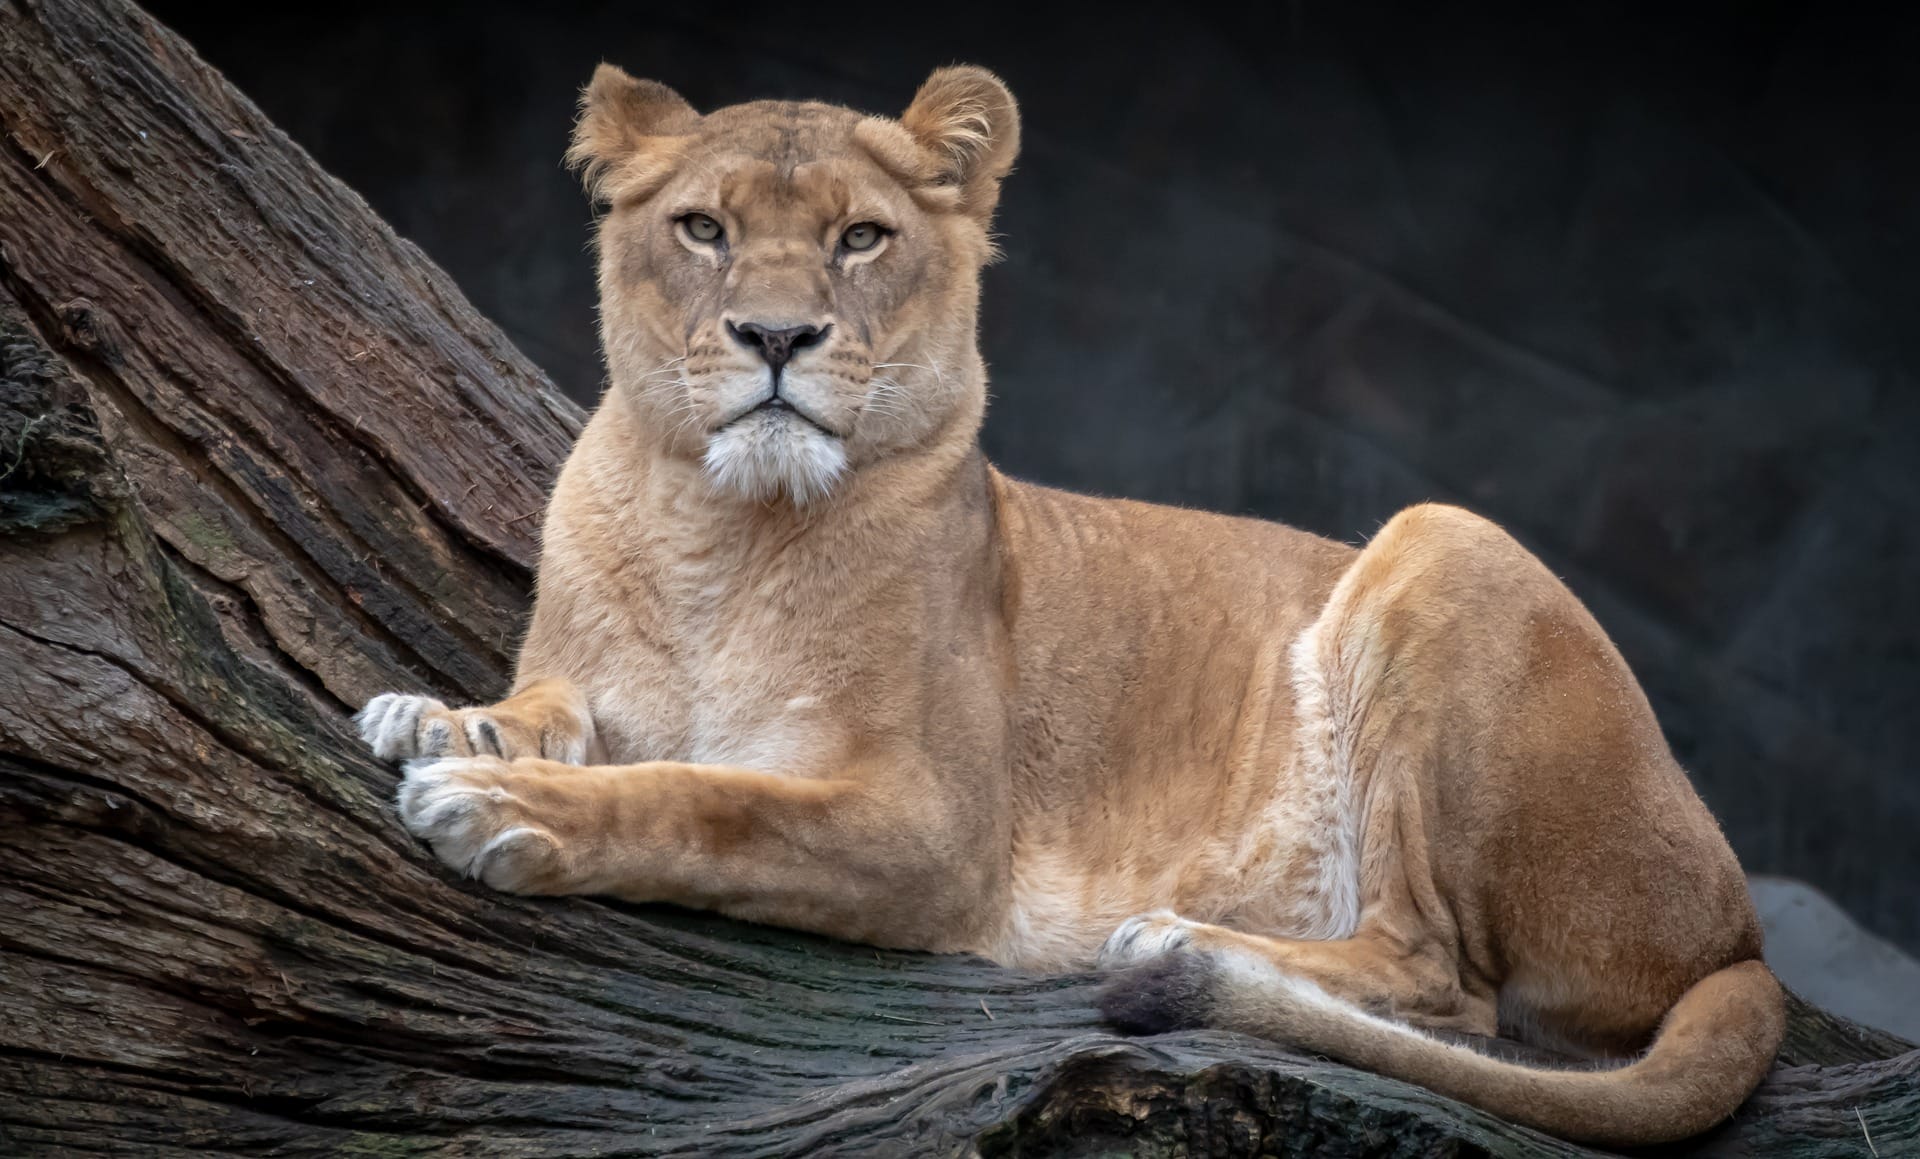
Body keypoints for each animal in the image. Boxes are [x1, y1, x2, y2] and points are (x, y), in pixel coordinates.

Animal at [355, 63, 1783, 1146]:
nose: (775, 338)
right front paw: (443, 720)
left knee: (1447, 984)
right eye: (704, 228)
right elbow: (556, 702)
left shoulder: (932, 827)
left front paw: (502, 806)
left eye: (860, 237)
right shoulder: (596, 669)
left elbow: (707, 800)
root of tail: (1744, 932)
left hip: (1446, 545)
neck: (718, 526)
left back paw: (1172, 939)